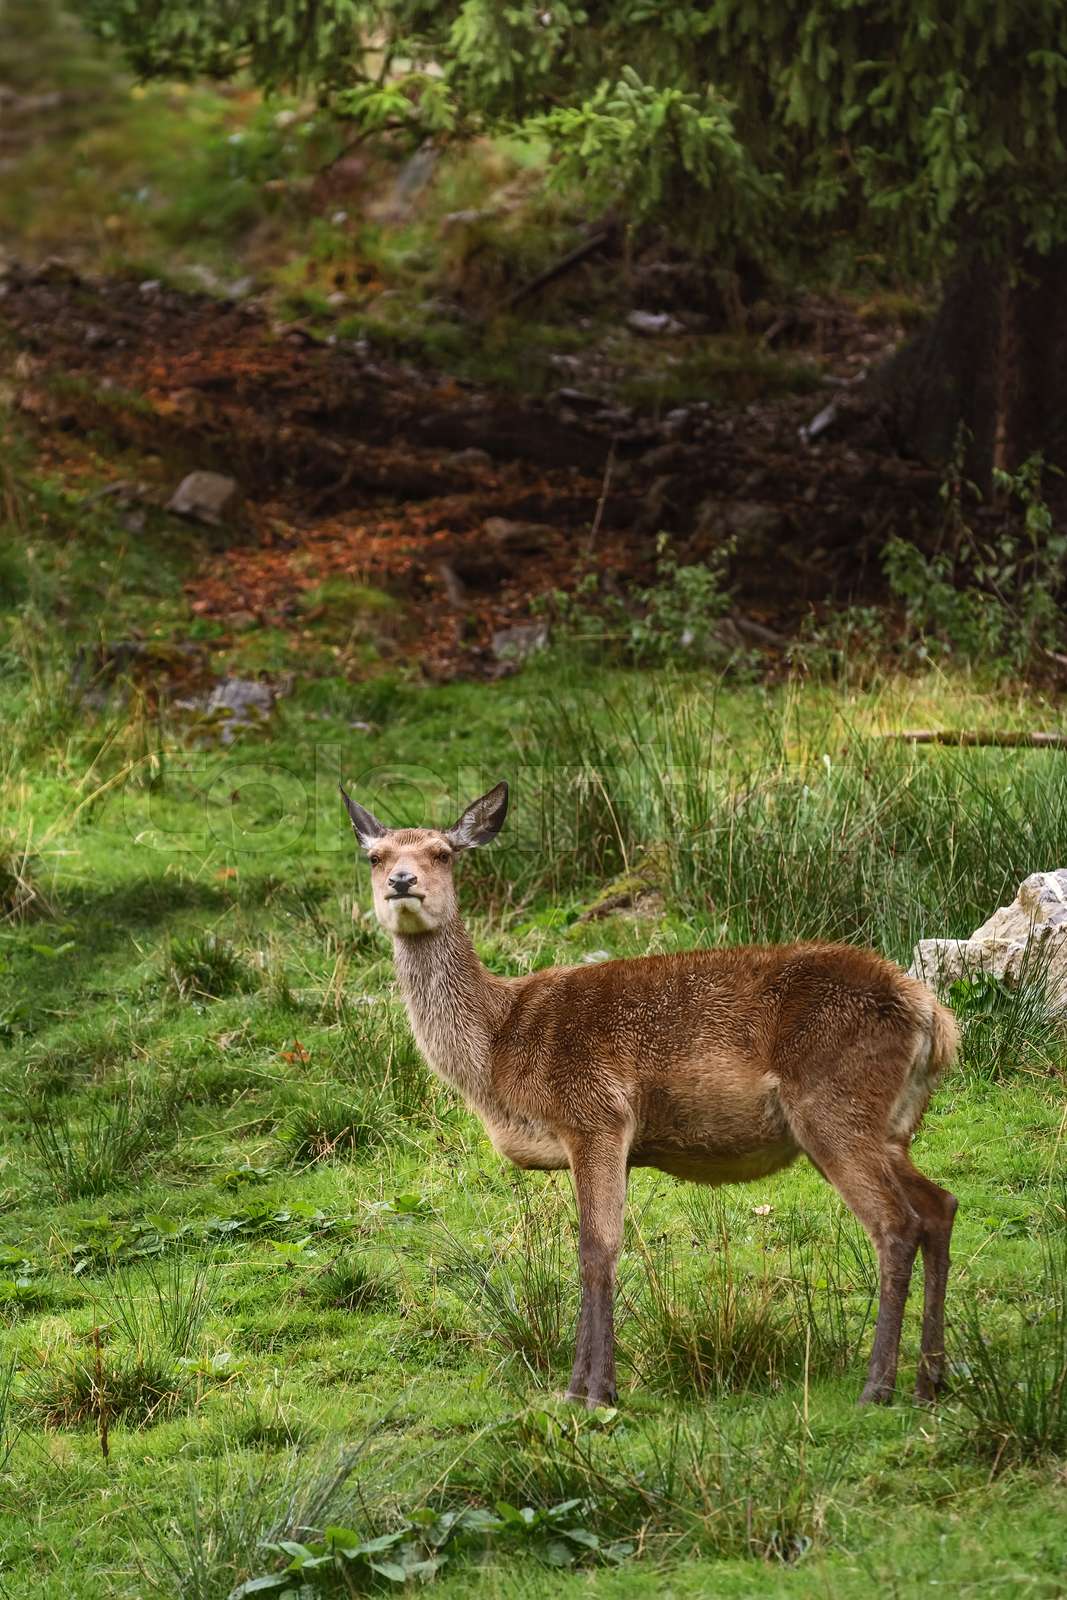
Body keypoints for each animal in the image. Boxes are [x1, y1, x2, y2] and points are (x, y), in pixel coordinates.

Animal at [340, 779, 959, 1410]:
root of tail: (935, 1020)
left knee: (896, 1224)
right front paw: (583, 1388)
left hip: (834, 1106)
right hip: (890, 1127)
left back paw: (877, 1386)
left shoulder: (594, 1114)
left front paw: (593, 1391)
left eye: (443, 853)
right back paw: (929, 1380)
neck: (498, 1050)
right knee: (940, 1205)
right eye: (375, 856)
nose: (402, 881)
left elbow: (597, 1249)